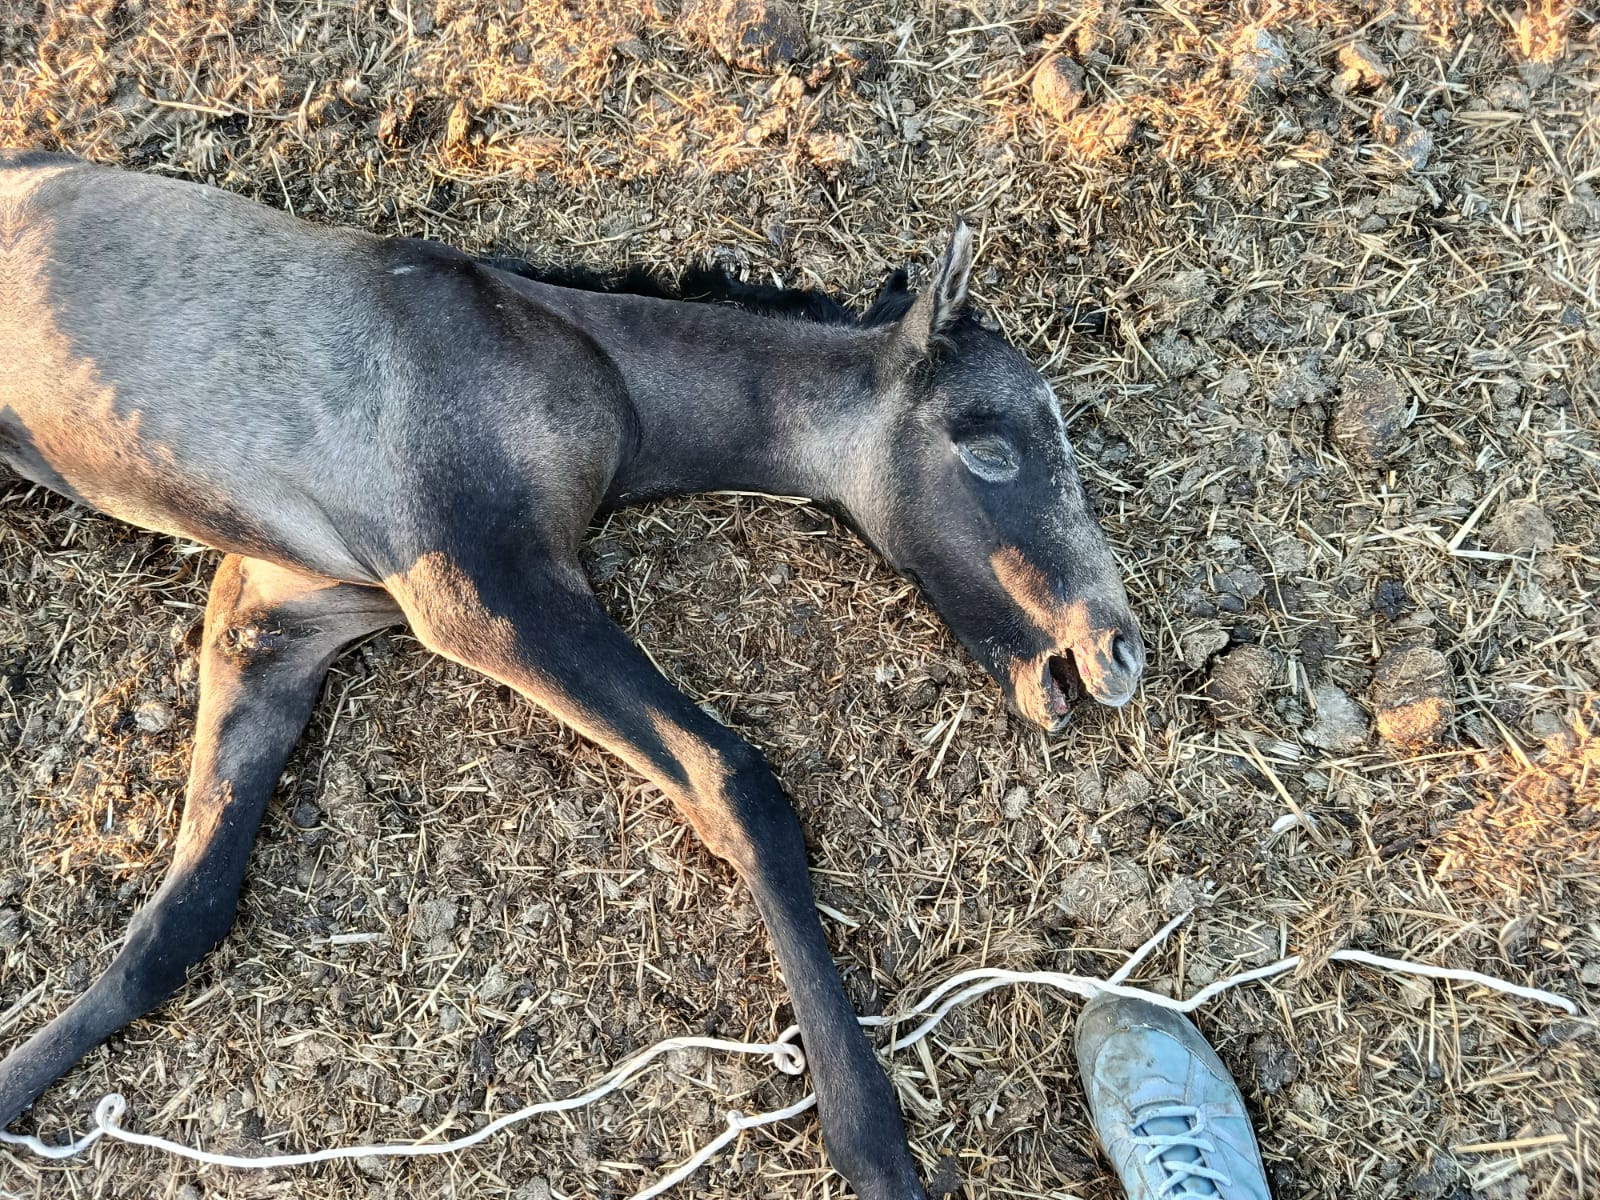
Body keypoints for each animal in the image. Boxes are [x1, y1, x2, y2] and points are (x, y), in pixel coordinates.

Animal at [0, 151, 1144, 1199]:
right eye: (987, 447)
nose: (1115, 650)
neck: (587, 367)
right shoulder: (484, 589)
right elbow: (734, 783)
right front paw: (875, 1146)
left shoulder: (280, 615)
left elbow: (183, 914)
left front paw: (18, 1083)